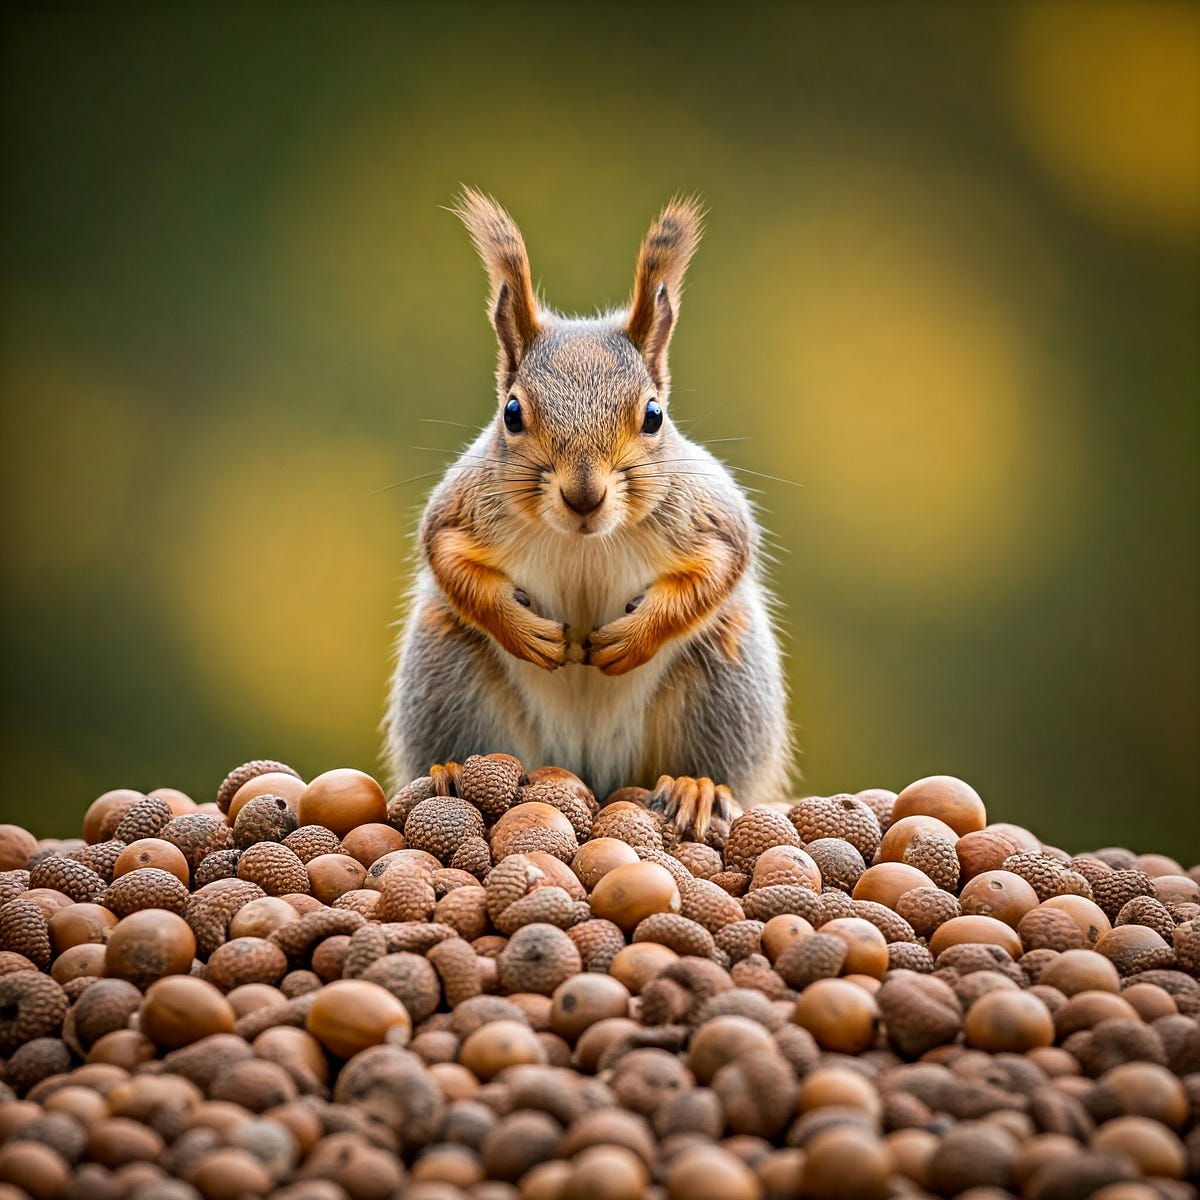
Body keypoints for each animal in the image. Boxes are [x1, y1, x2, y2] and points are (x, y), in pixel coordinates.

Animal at [384, 190, 793, 838]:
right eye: (512, 412)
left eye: (653, 415)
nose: (583, 496)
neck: (582, 539)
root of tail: (589, 770)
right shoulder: (463, 506)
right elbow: (443, 552)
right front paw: (525, 631)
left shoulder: (706, 512)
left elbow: (724, 561)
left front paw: (632, 638)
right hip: (447, 672)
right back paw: (451, 772)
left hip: (723, 684)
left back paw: (698, 789)